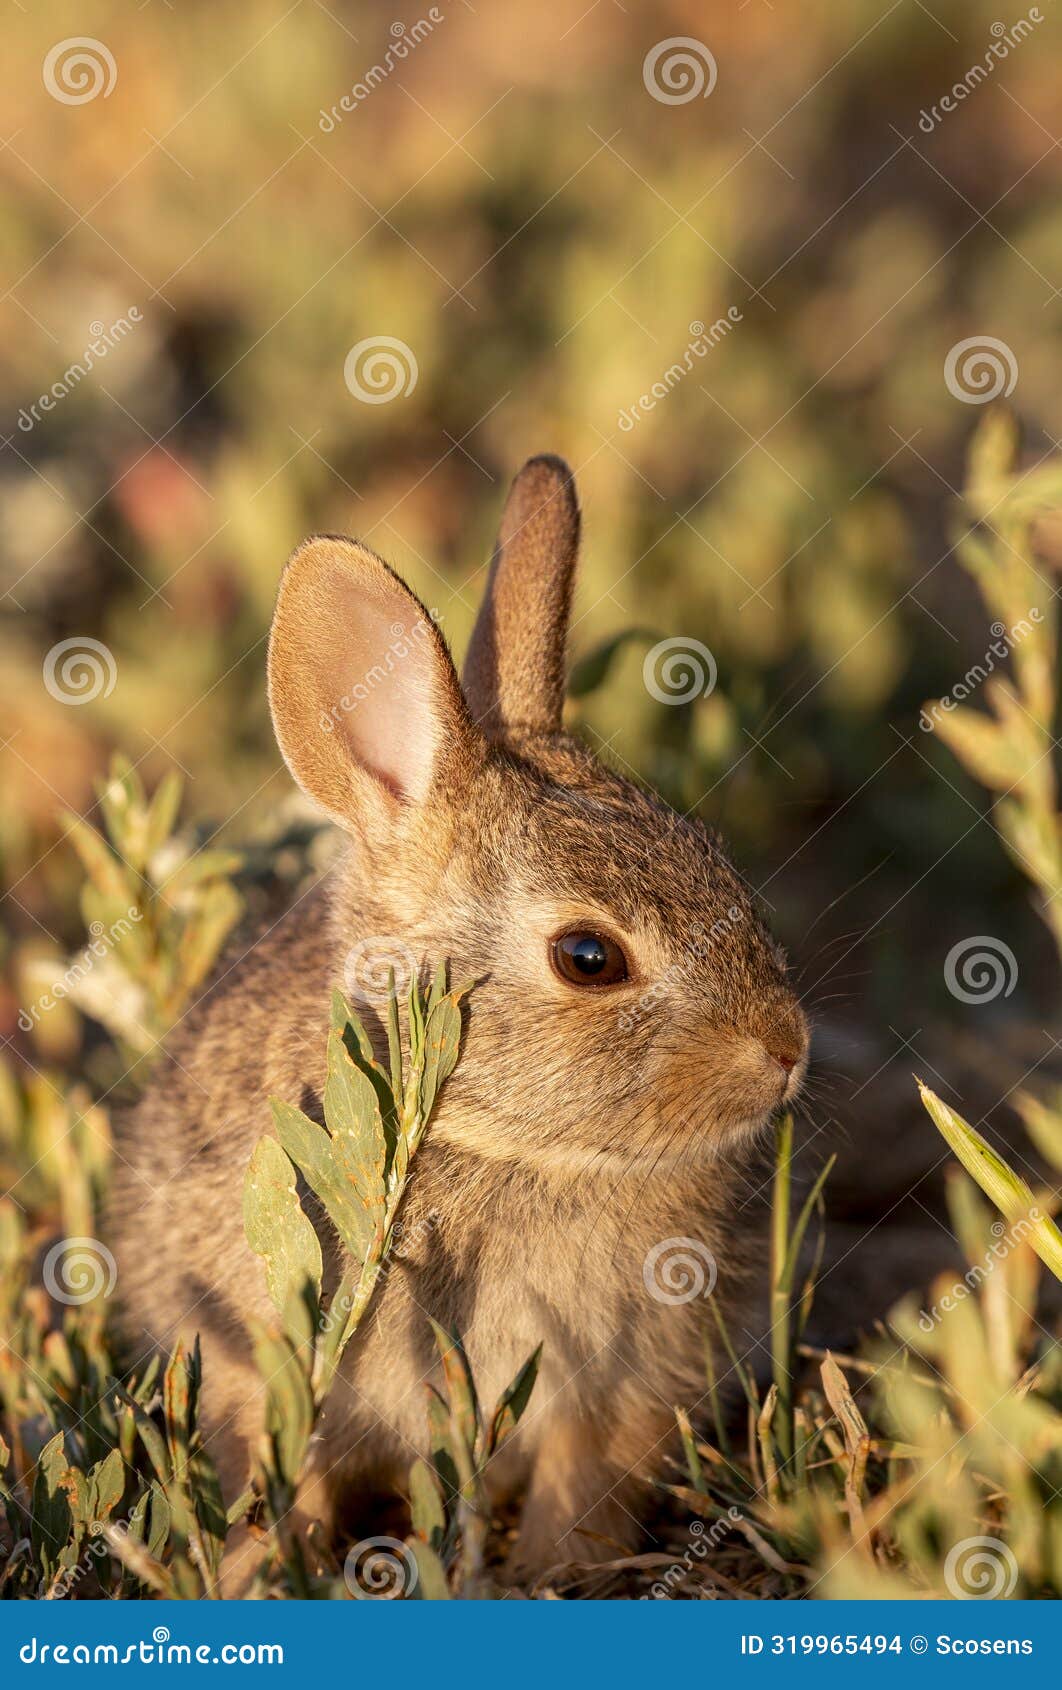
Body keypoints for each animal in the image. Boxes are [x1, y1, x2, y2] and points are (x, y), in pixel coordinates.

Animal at [107, 455, 809, 1593]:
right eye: (589, 958)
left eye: (716, 858)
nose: (787, 1050)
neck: (499, 1139)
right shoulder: (278, 1357)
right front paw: (264, 1567)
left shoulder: (626, 1378)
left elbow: (586, 1484)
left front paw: (558, 1577)